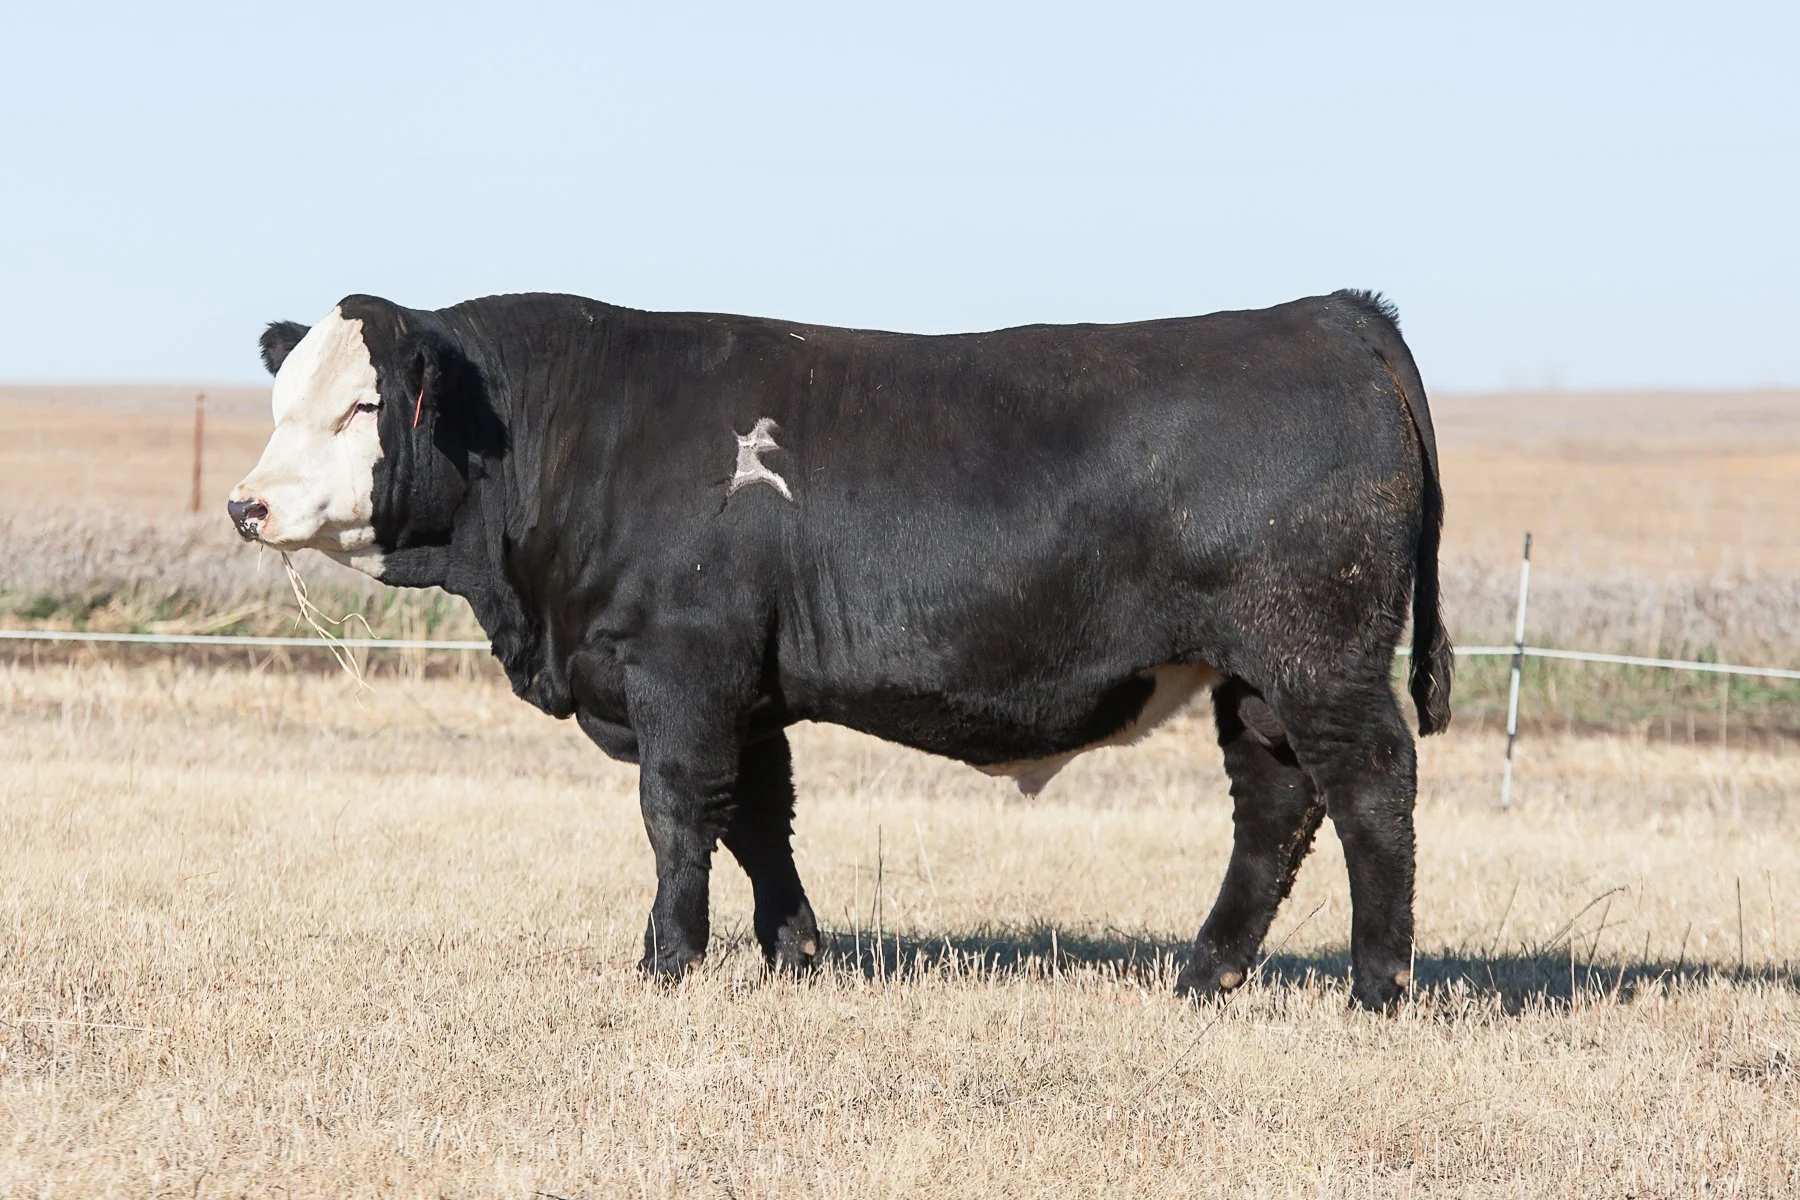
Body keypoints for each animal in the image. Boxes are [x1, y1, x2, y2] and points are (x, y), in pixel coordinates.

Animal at [228, 289, 1452, 1012]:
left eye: (364, 407)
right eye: (281, 400)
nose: (247, 505)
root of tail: (1326, 313)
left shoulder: (681, 668)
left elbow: (679, 813)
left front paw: (668, 962)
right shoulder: (746, 687)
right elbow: (759, 818)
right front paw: (796, 954)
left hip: (1320, 656)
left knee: (1371, 788)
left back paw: (1378, 987)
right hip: (1256, 679)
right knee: (1276, 804)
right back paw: (1206, 974)